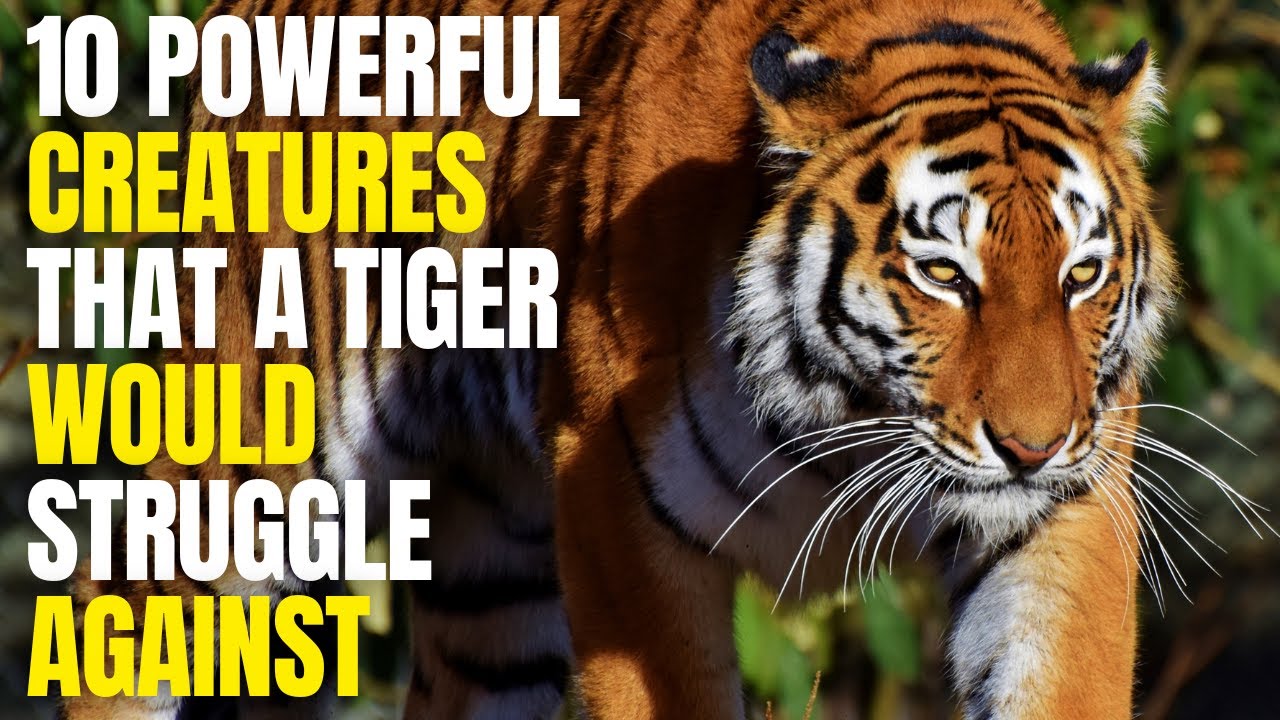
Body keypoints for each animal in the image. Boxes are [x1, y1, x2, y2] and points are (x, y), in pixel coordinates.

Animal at [59, 0, 1187, 718]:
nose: (1031, 448)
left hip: (496, 567)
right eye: (944, 274)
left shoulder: (1064, 514)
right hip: (242, 457)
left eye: (1081, 275)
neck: (847, 421)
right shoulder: (622, 513)